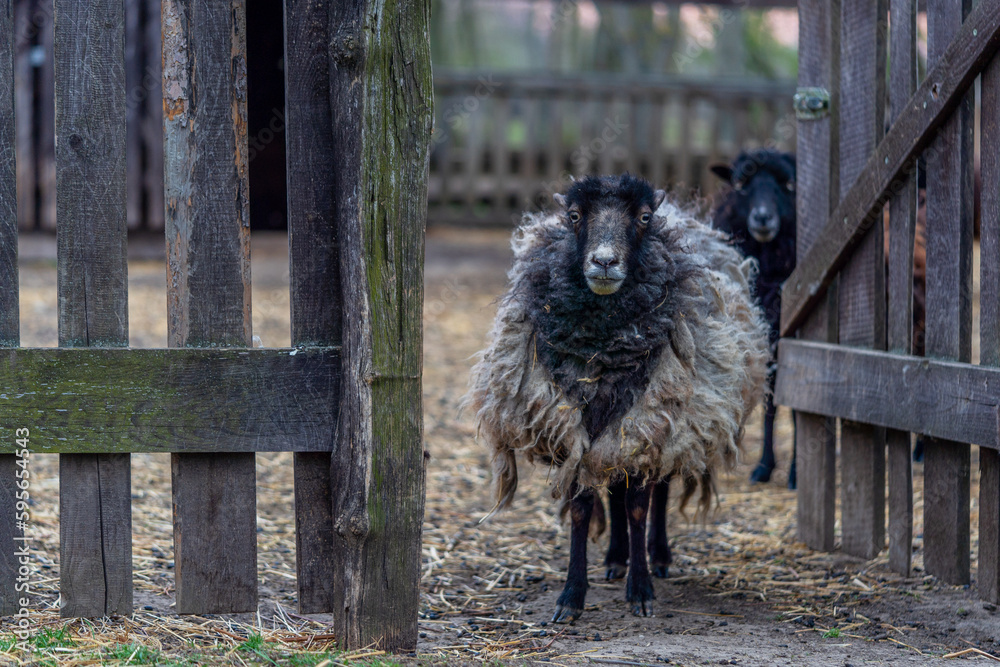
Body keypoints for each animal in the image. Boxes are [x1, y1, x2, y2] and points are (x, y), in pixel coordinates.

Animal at [467, 174, 770, 622]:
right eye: (574, 216)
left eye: (644, 217)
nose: (605, 262)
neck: (602, 357)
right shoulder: (575, 423)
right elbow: (583, 506)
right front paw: (572, 596)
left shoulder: (647, 419)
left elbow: (639, 505)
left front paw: (641, 590)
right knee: (612, 486)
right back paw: (614, 558)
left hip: (664, 416)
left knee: (655, 488)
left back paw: (656, 556)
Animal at [710, 149, 798, 488]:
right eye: (741, 185)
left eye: (788, 185)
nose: (762, 217)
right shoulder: (765, 339)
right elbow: (771, 403)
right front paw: (764, 467)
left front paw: (796, 473)